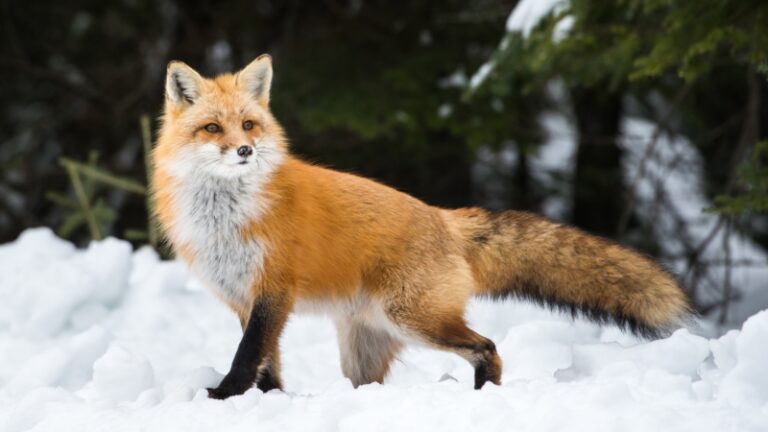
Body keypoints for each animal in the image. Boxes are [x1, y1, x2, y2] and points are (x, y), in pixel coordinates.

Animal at [152, 55, 693, 399]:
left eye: (248, 125)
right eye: (212, 128)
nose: (245, 150)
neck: (226, 216)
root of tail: (443, 217)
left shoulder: (273, 290)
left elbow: (248, 357)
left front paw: (224, 397)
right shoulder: (244, 298)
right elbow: (266, 364)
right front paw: (267, 401)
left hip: (414, 318)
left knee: (488, 348)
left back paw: (484, 397)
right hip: (365, 346)